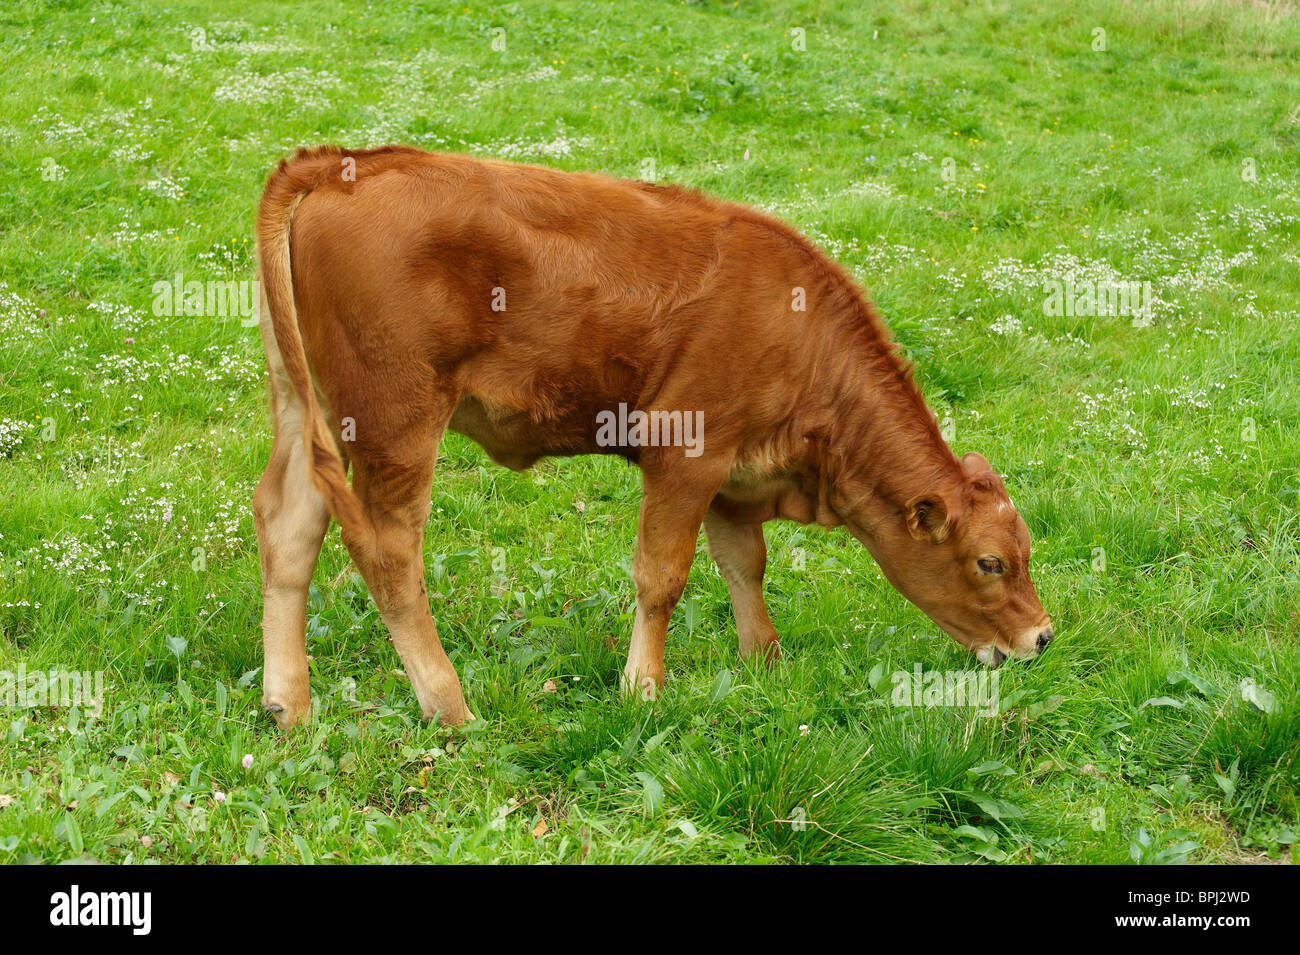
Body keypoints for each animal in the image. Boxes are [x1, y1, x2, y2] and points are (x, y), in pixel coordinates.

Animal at [253, 145, 1054, 729]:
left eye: (1024, 551)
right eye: (989, 562)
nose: (1042, 636)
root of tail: (345, 160)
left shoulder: (733, 471)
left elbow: (745, 563)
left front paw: (764, 664)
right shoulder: (684, 451)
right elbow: (662, 575)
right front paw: (642, 688)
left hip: (305, 404)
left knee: (288, 523)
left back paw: (290, 707)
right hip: (395, 420)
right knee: (389, 553)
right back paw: (449, 705)